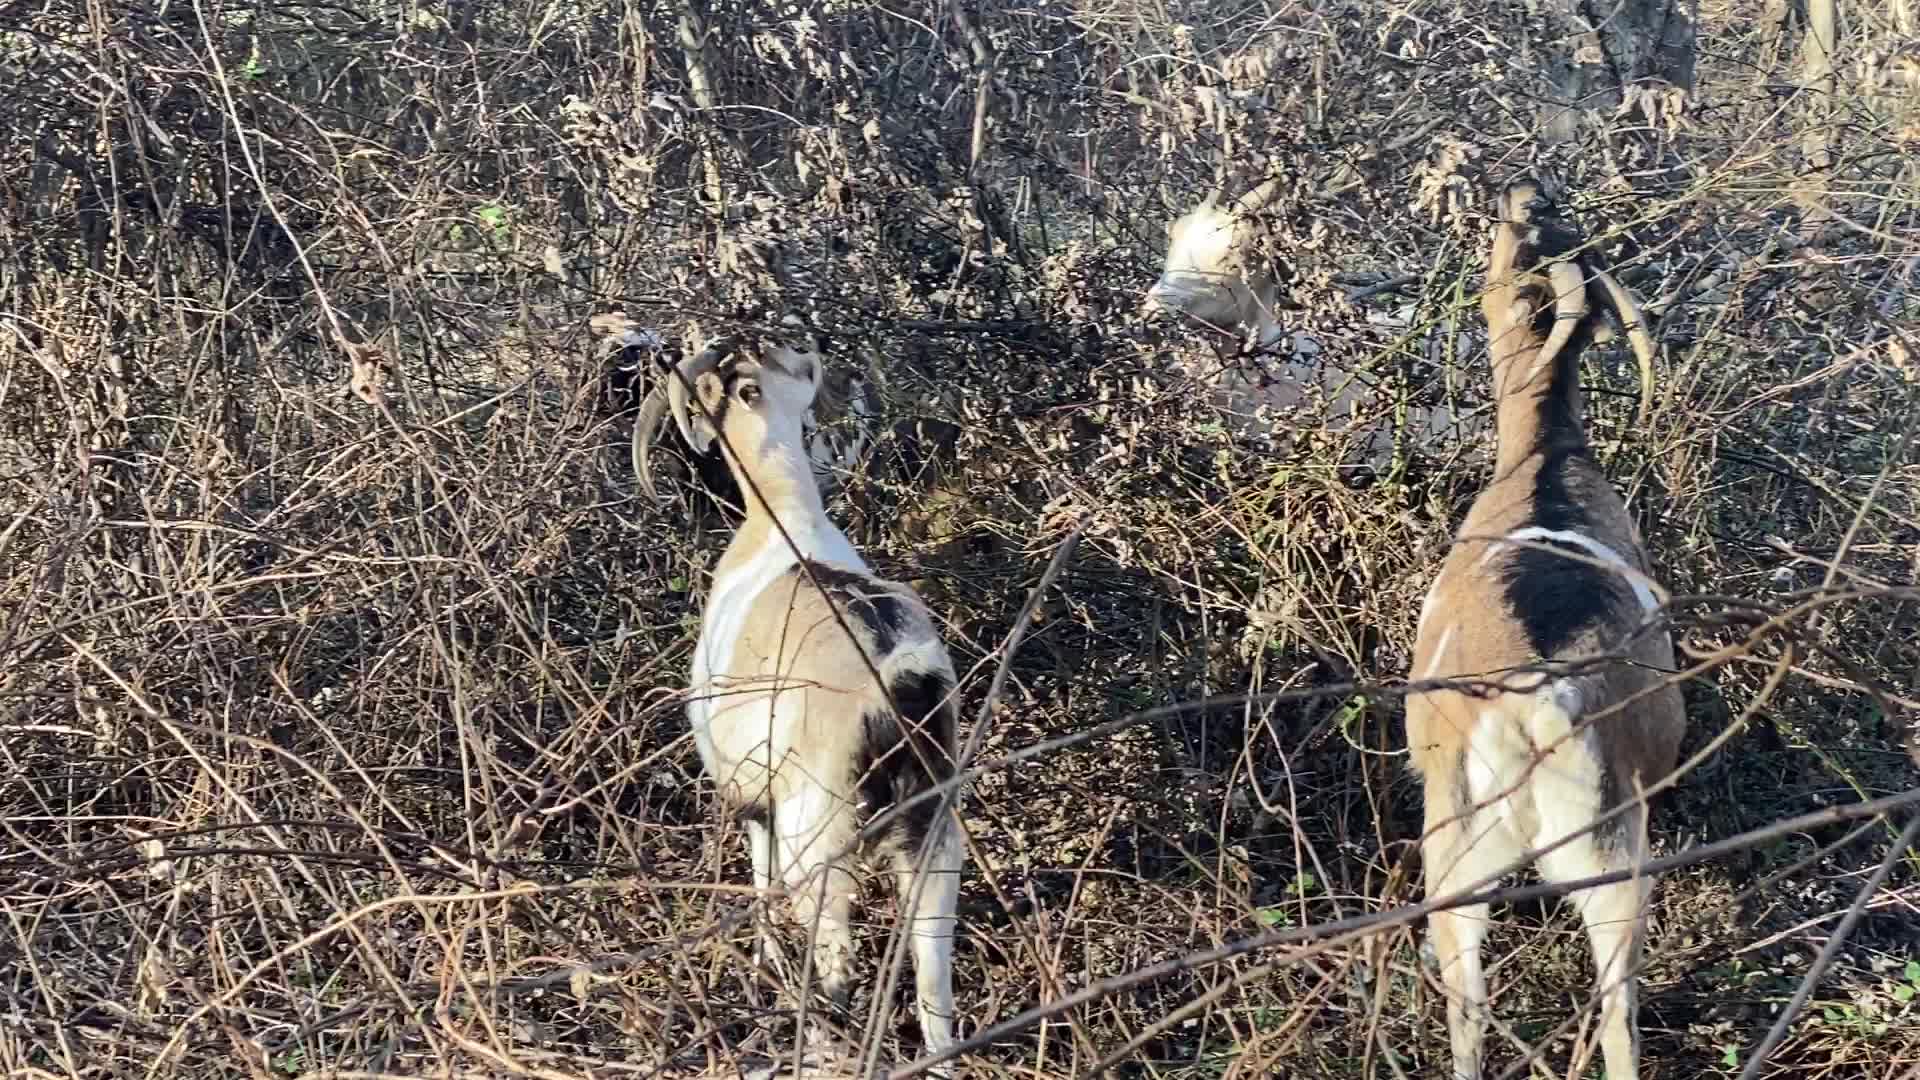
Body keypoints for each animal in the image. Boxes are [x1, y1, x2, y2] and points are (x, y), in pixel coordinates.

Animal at [647, 325, 964, 1063]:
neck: (783, 525)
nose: (813, 352)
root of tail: (898, 680)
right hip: (933, 833)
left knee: (836, 954)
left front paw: (765, 963)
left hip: (818, 832)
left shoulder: (747, 789)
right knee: (933, 969)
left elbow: (759, 879)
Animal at [1405, 181, 1680, 1080]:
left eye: (1506, 257)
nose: (1518, 192)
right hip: (1592, 858)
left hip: (1479, 839)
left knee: (1487, 1001)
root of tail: (1535, 709)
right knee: (1596, 1001)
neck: (1546, 464)